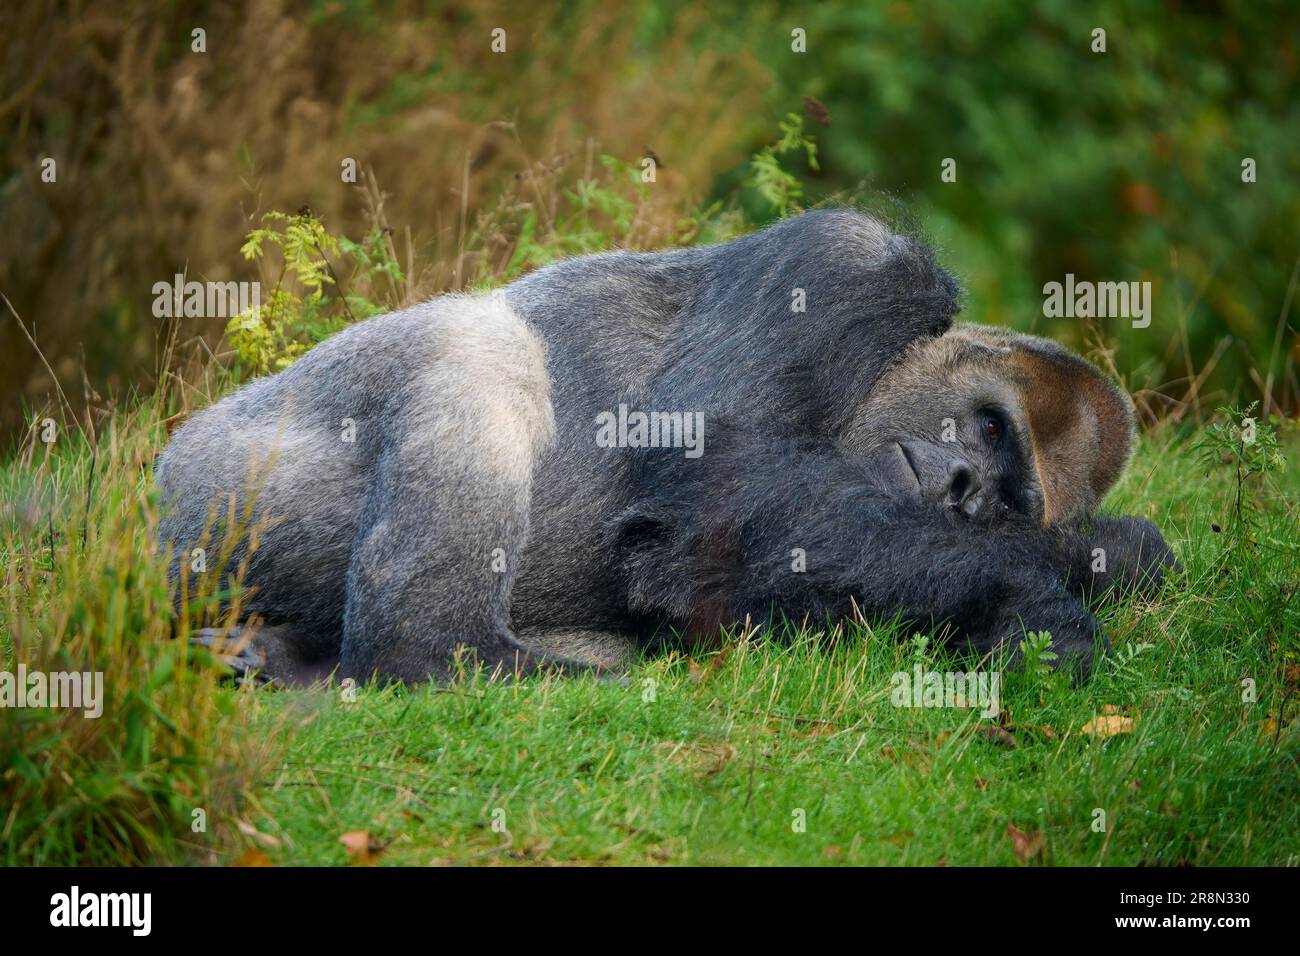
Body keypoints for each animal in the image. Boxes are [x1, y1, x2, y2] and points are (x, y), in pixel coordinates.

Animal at [154, 208, 1178, 685]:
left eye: (1011, 492)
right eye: (990, 423)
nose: (964, 486)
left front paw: (1094, 557)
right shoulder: (846, 264)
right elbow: (707, 517)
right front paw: (1036, 592)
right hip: (209, 499)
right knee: (485, 351)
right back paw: (440, 655)